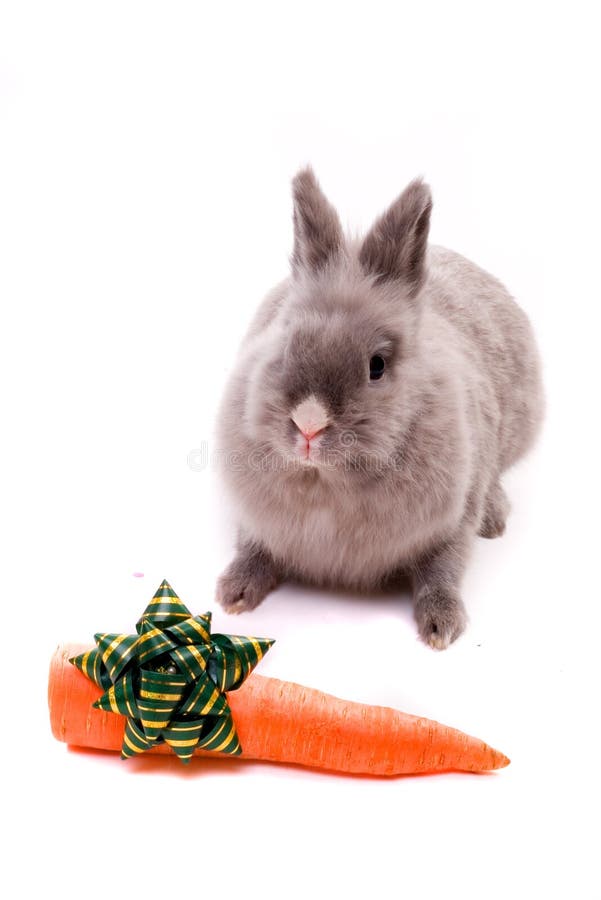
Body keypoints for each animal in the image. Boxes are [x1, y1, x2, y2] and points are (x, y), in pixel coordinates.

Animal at [215, 167, 544, 649]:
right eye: (286, 342)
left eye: (377, 366)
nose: (309, 424)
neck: (326, 482)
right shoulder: (255, 520)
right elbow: (252, 548)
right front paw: (233, 595)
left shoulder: (454, 518)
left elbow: (444, 568)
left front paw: (441, 627)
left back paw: (495, 518)